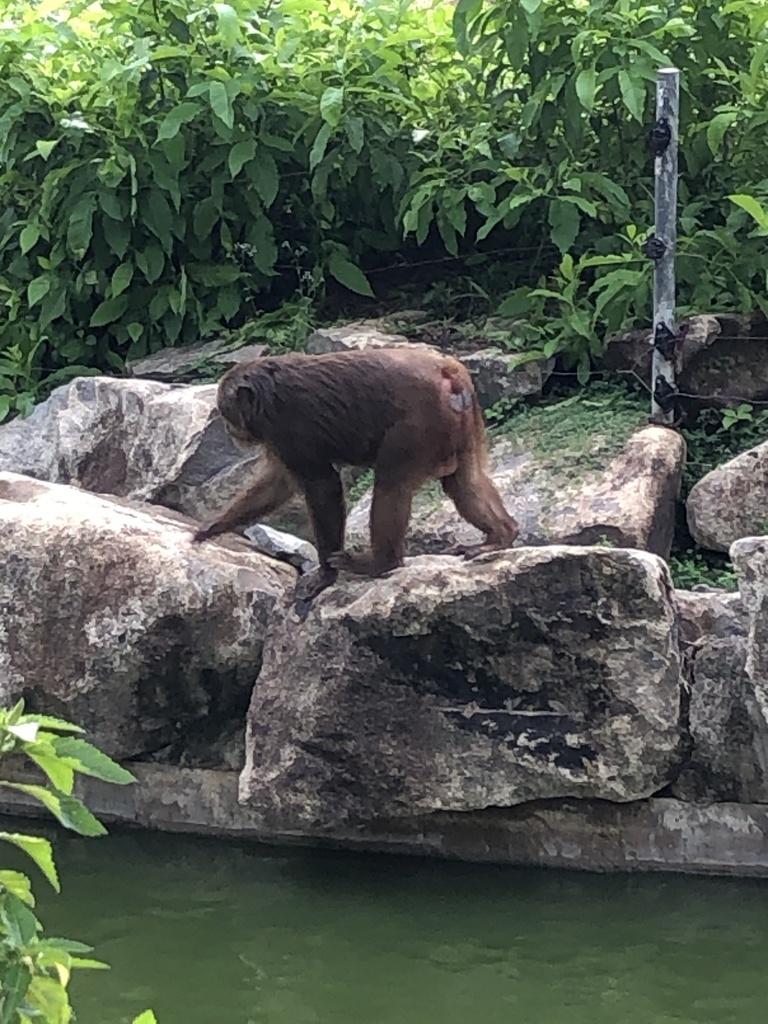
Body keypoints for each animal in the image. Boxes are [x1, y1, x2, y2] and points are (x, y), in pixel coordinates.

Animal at [192, 348, 519, 603]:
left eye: (225, 412)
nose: (228, 429)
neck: (267, 395)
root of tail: (448, 372)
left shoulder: (286, 428)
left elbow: (323, 488)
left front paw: (326, 575)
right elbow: (278, 483)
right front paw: (215, 526)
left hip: (420, 423)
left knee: (390, 485)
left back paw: (381, 564)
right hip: (462, 419)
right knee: (464, 481)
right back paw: (500, 536)